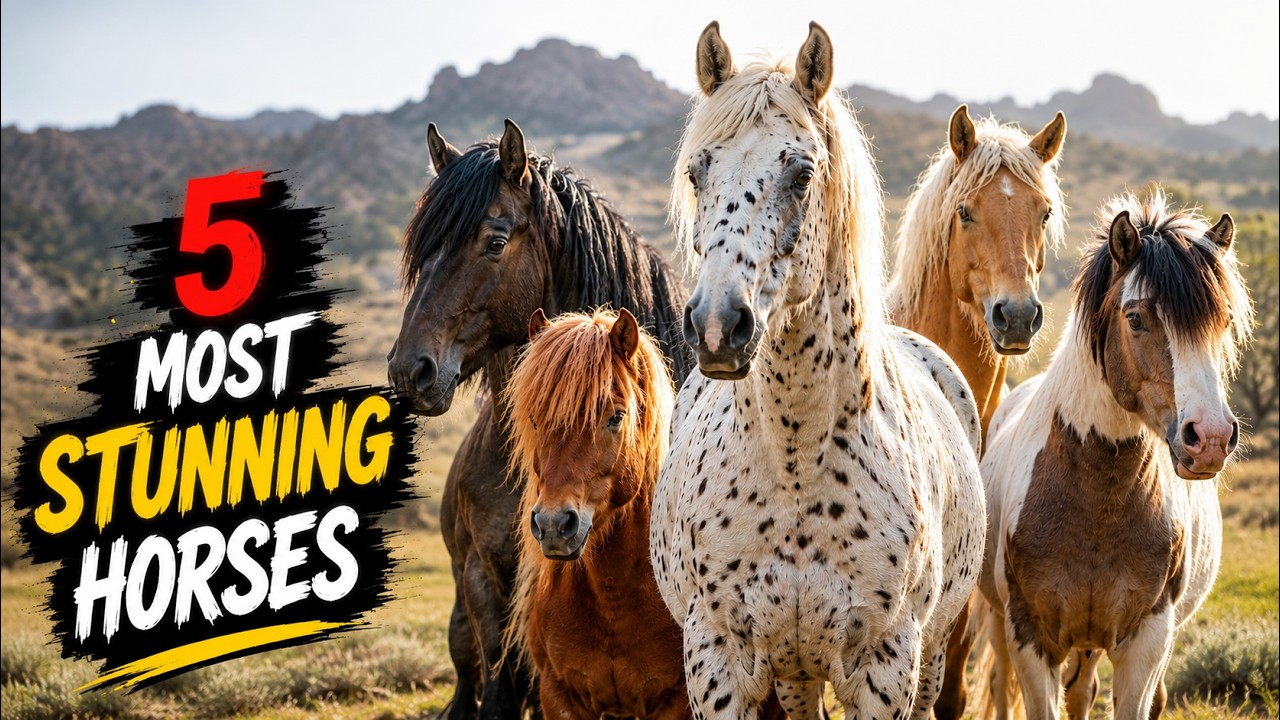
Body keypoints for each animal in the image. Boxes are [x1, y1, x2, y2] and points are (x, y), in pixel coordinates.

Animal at [504, 307, 689, 719]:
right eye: (536, 419)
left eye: (616, 417)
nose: (553, 524)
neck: (613, 601)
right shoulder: (559, 695)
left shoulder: (678, 700)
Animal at [651, 21, 987, 719]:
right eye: (697, 174)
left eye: (802, 174)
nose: (718, 326)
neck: (795, 461)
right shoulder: (717, 660)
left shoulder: (887, 663)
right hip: (794, 670)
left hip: (930, 652)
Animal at [975, 190, 1253, 720]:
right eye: (1136, 318)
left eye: (1224, 321)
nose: (1209, 437)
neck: (1095, 503)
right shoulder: (1029, 637)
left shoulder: (1148, 641)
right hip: (1004, 627)